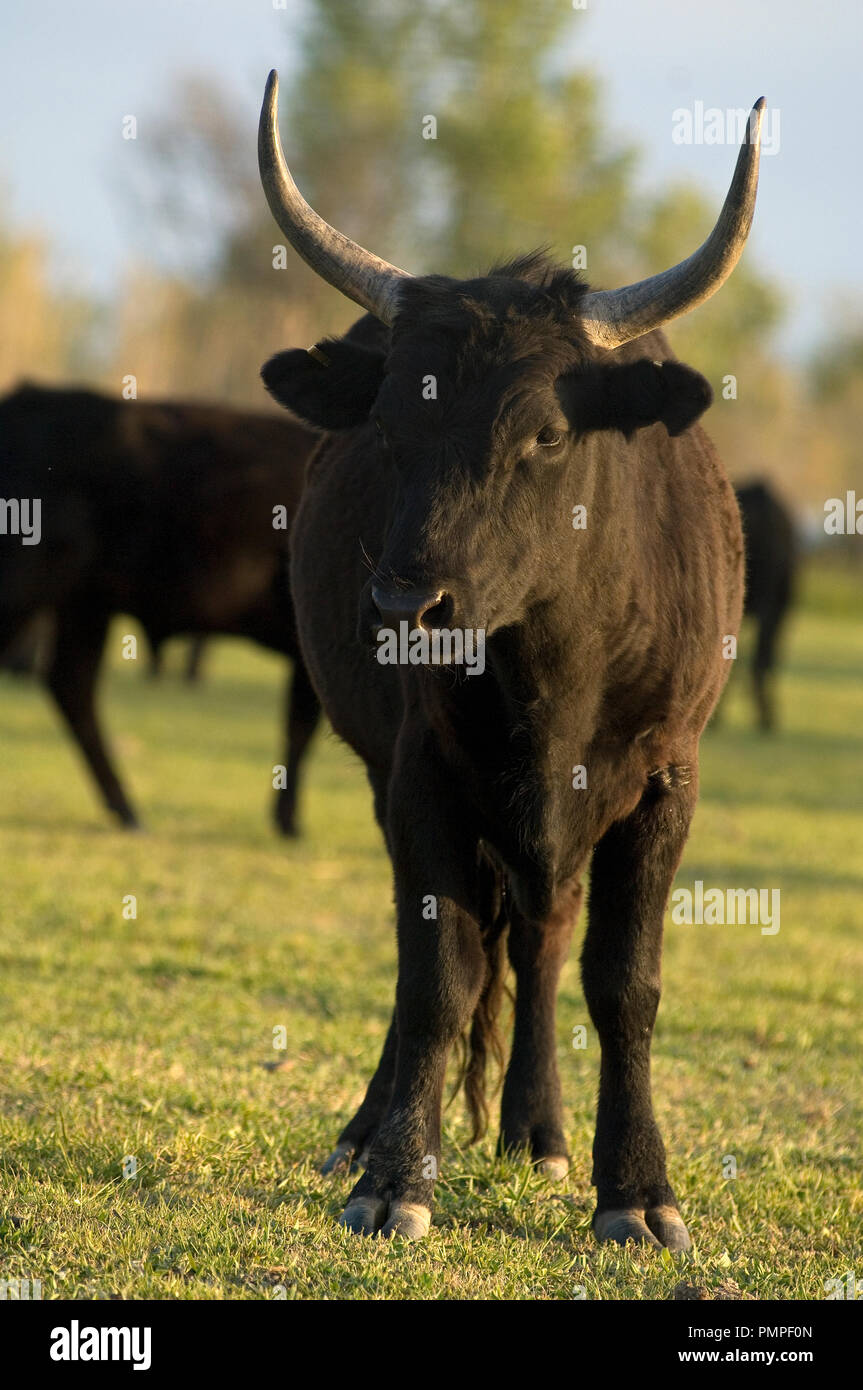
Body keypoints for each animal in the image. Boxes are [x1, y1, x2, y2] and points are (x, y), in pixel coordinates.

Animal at [256, 70, 763, 1247]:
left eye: (543, 433)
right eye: (387, 424)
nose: (406, 602)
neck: (549, 675)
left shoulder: (662, 783)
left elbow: (621, 983)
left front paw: (636, 1192)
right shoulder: (421, 778)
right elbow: (435, 977)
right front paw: (394, 1173)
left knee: (539, 939)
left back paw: (538, 1131)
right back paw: (374, 1127)